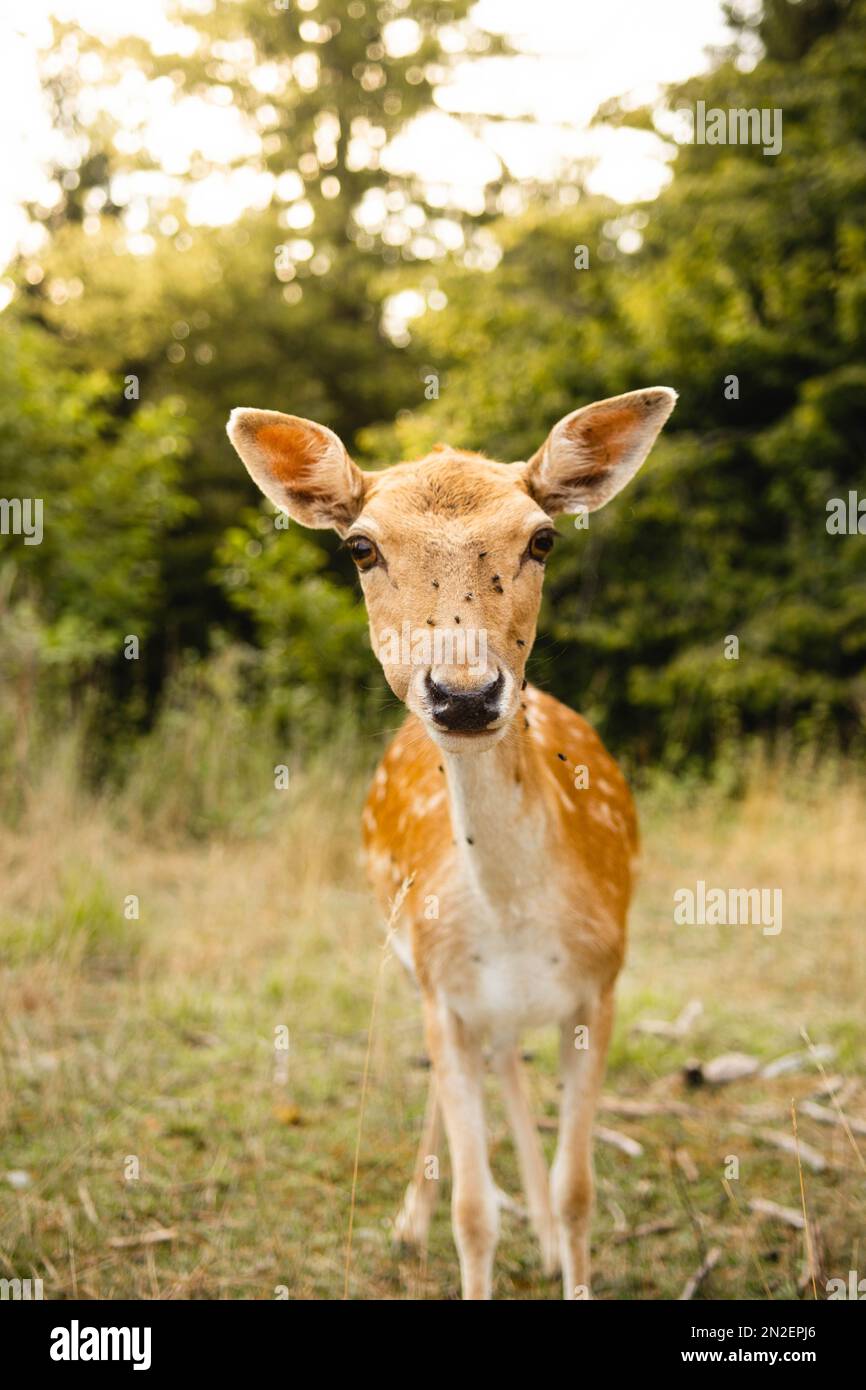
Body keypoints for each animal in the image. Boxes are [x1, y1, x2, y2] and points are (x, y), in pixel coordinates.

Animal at [227, 386, 677, 1300]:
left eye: (542, 537)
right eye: (360, 546)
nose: (464, 694)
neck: (514, 918)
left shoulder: (602, 988)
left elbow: (580, 1193)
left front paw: (558, 1234)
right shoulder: (444, 994)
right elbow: (472, 1212)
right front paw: (457, 1222)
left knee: (507, 1061)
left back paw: (537, 1228)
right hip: (414, 968)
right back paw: (410, 1223)